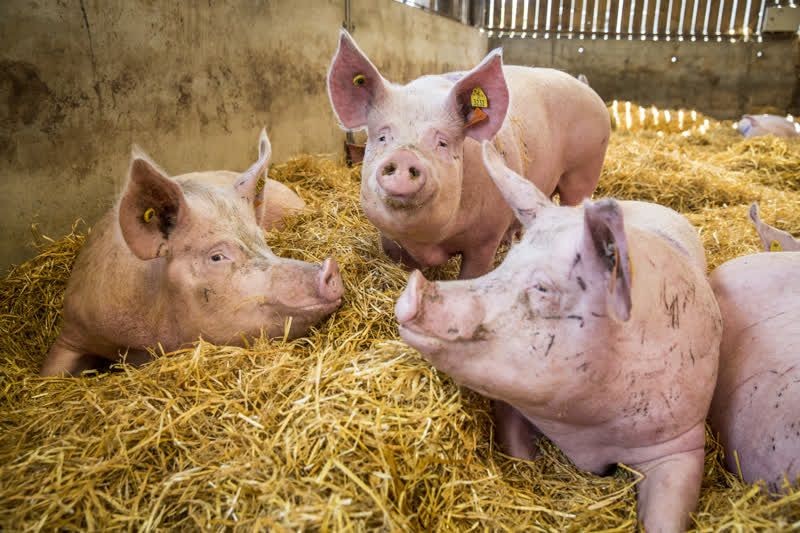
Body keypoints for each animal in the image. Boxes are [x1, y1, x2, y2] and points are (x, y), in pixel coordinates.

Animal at [327, 31, 610, 279]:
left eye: (442, 142)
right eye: (383, 137)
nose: (406, 155)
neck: (429, 243)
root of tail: (588, 89)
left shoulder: (485, 237)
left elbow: (473, 272)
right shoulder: (389, 239)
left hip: (585, 169)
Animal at [394, 141, 722, 532]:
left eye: (543, 288)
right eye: (506, 263)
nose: (413, 288)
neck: (584, 430)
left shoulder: (682, 440)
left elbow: (667, 517)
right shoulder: (513, 402)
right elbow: (518, 450)